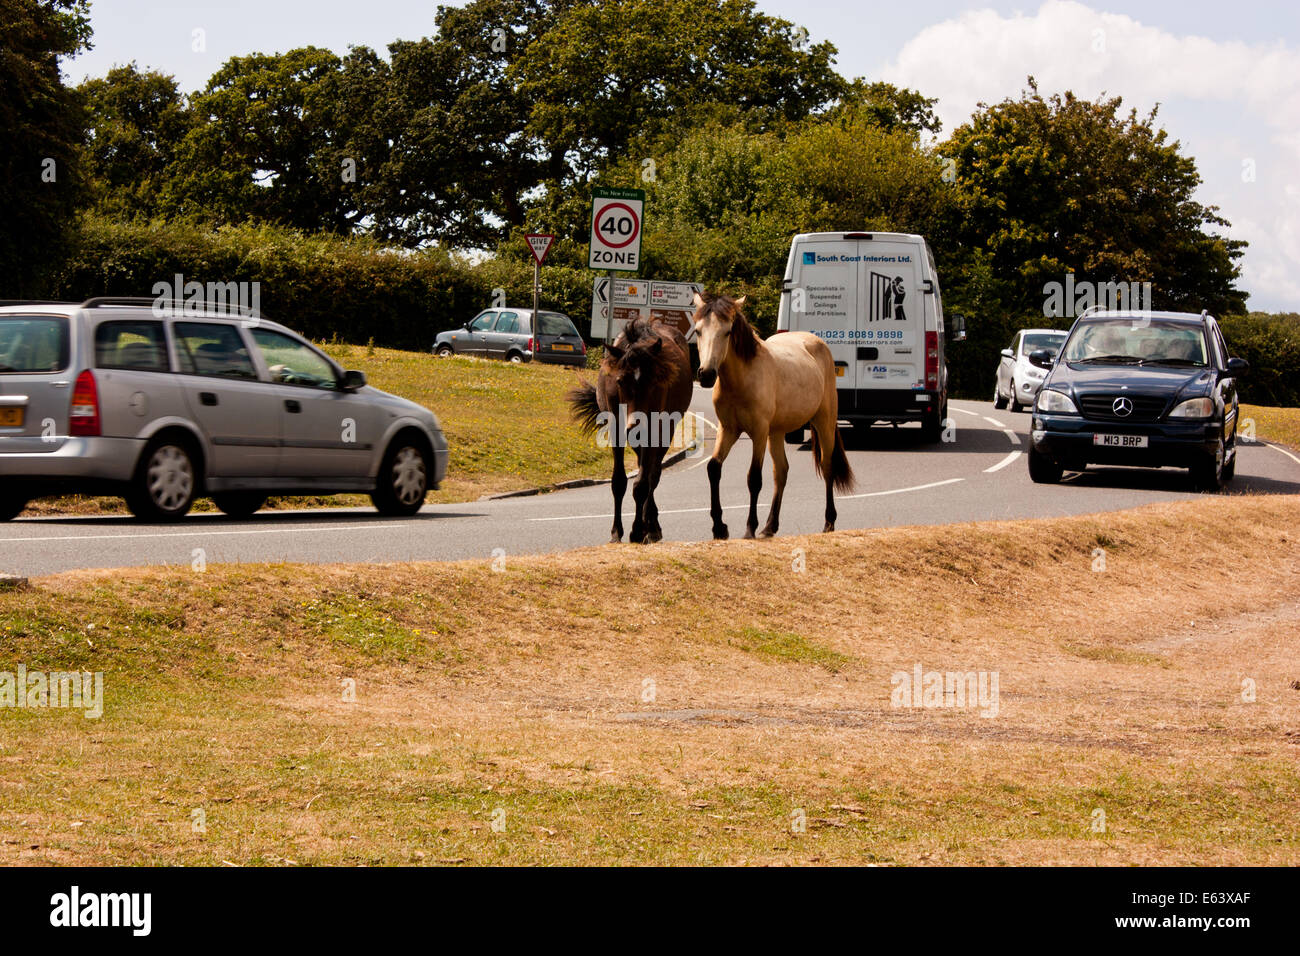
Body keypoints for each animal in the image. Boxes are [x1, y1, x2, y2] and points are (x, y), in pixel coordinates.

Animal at [568, 317, 694, 544]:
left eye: (653, 381)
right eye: (619, 381)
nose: (636, 424)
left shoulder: (654, 431)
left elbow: (642, 484)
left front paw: (637, 530)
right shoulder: (618, 431)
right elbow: (619, 482)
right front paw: (616, 531)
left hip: (664, 431)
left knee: (653, 475)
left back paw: (650, 526)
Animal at [692, 292, 853, 539]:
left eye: (727, 332)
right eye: (698, 330)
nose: (707, 374)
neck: (742, 379)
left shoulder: (758, 432)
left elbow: (754, 478)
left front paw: (749, 528)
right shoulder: (728, 430)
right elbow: (714, 468)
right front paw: (719, 527)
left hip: (823, 422)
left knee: (827, 467)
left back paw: (829, 522)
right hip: (776, 433)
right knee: (781, 471)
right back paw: (770, 526)